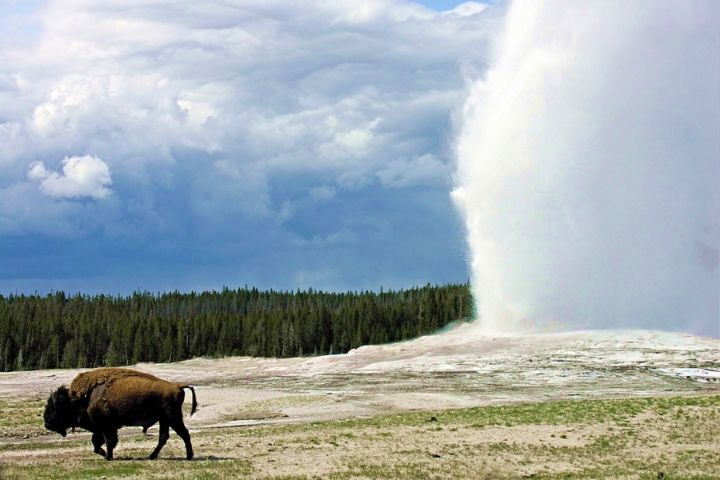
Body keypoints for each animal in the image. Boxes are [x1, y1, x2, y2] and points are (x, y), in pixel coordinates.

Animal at [44, 367, 197, 460]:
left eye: (55, 407)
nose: (47, 424)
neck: (80, 398)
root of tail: (177, 386)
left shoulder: (105, 426)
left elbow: (107, 441)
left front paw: (108, 456)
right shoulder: (103, 427)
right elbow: (97, 442)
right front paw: (105, 454)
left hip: (173, 418)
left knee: (184, 433)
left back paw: (189, 456)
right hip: (164, 420)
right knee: (164, 437)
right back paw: (151, 456)